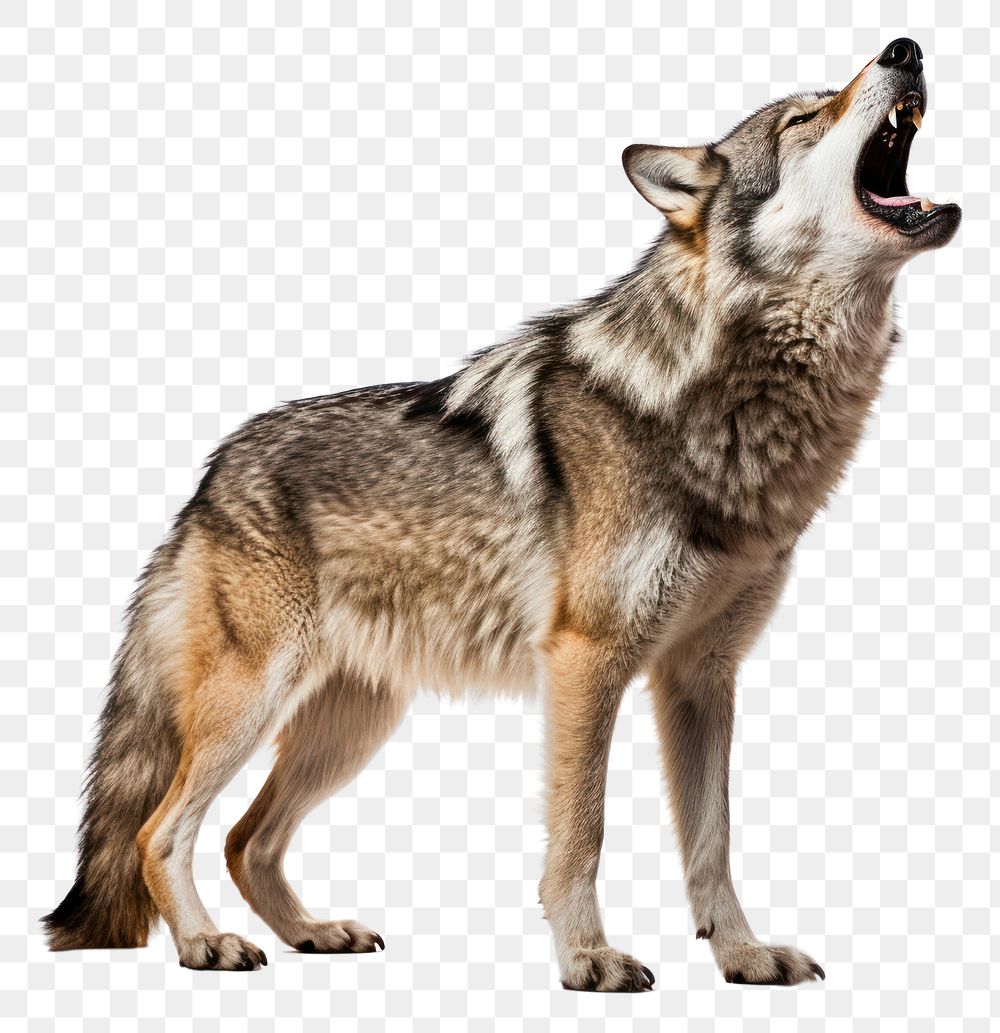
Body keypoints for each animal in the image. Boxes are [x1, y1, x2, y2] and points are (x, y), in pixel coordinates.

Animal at [45, 39, 959, 989]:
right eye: (804, 117)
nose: (904, 48)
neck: (729, 404)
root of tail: (208, 475)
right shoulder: (587, 660)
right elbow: (583, 829)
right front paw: (589, 957)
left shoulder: (702, 675)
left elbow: (713, 841)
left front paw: (742, 953)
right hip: (257, 701)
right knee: (161, 831)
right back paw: (204, 944)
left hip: (352, 725)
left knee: (244, 839)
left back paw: (313, 932)